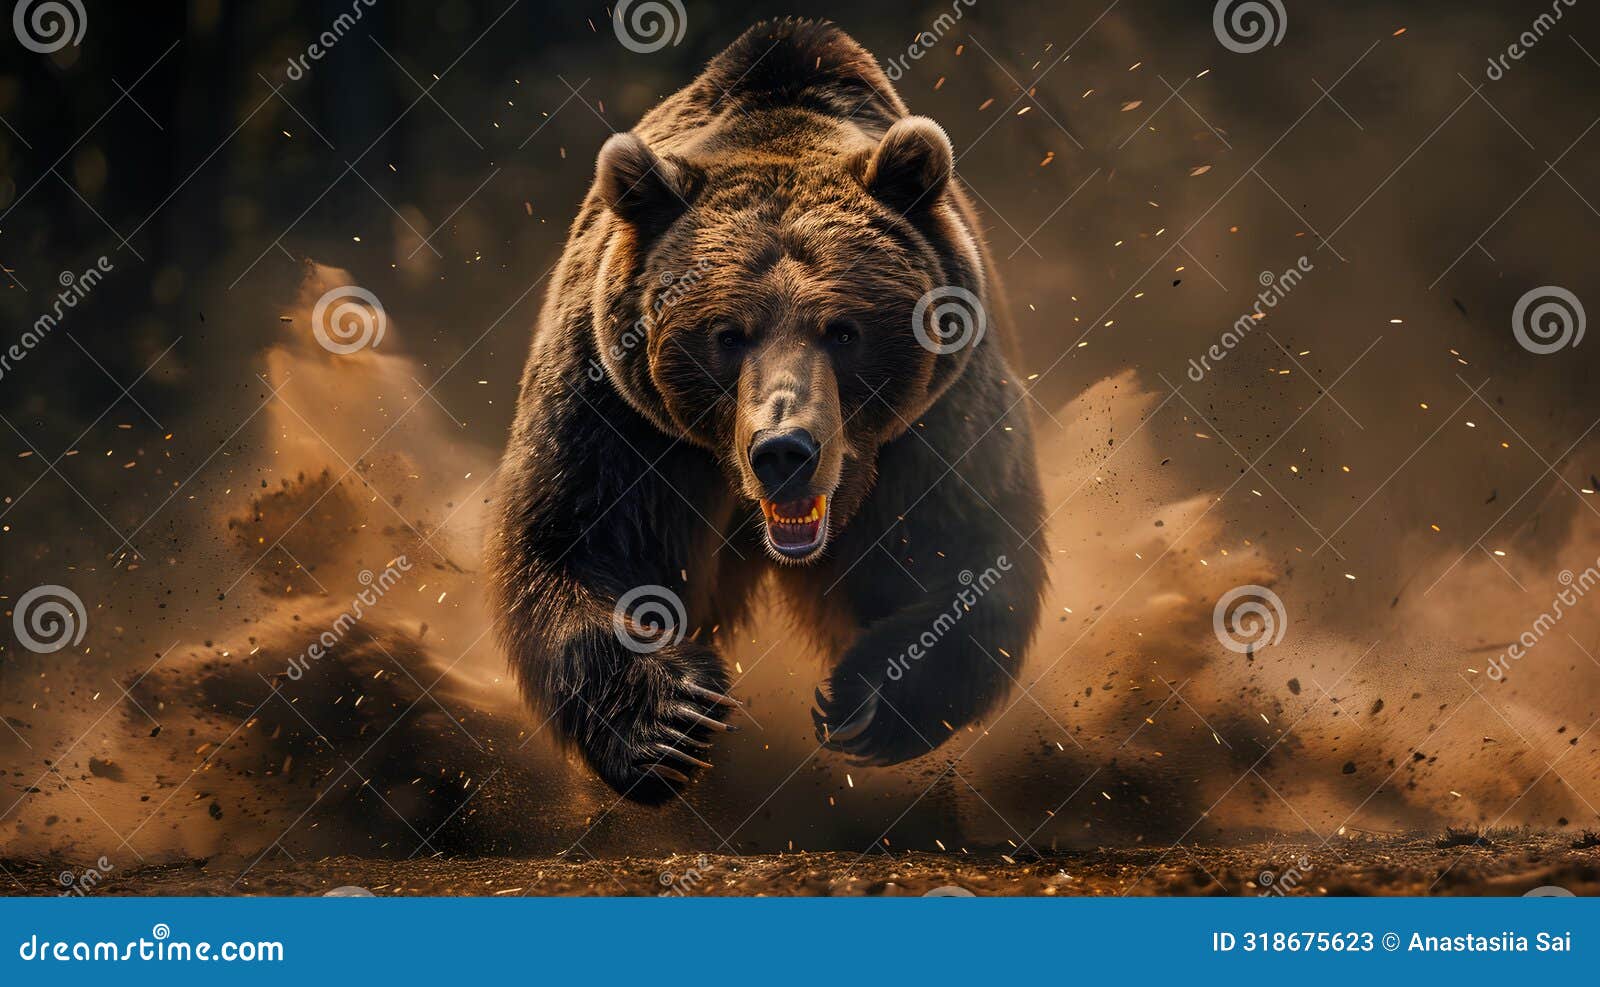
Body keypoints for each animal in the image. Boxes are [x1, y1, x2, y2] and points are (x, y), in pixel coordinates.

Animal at [488, 18, 1047, 804]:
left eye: (843, 330)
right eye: (727, 334)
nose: (786, 450)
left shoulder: (935, 417)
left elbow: (967, 547)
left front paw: (863, 704)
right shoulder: (617, 413)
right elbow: (577, 539)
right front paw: (671, 723)